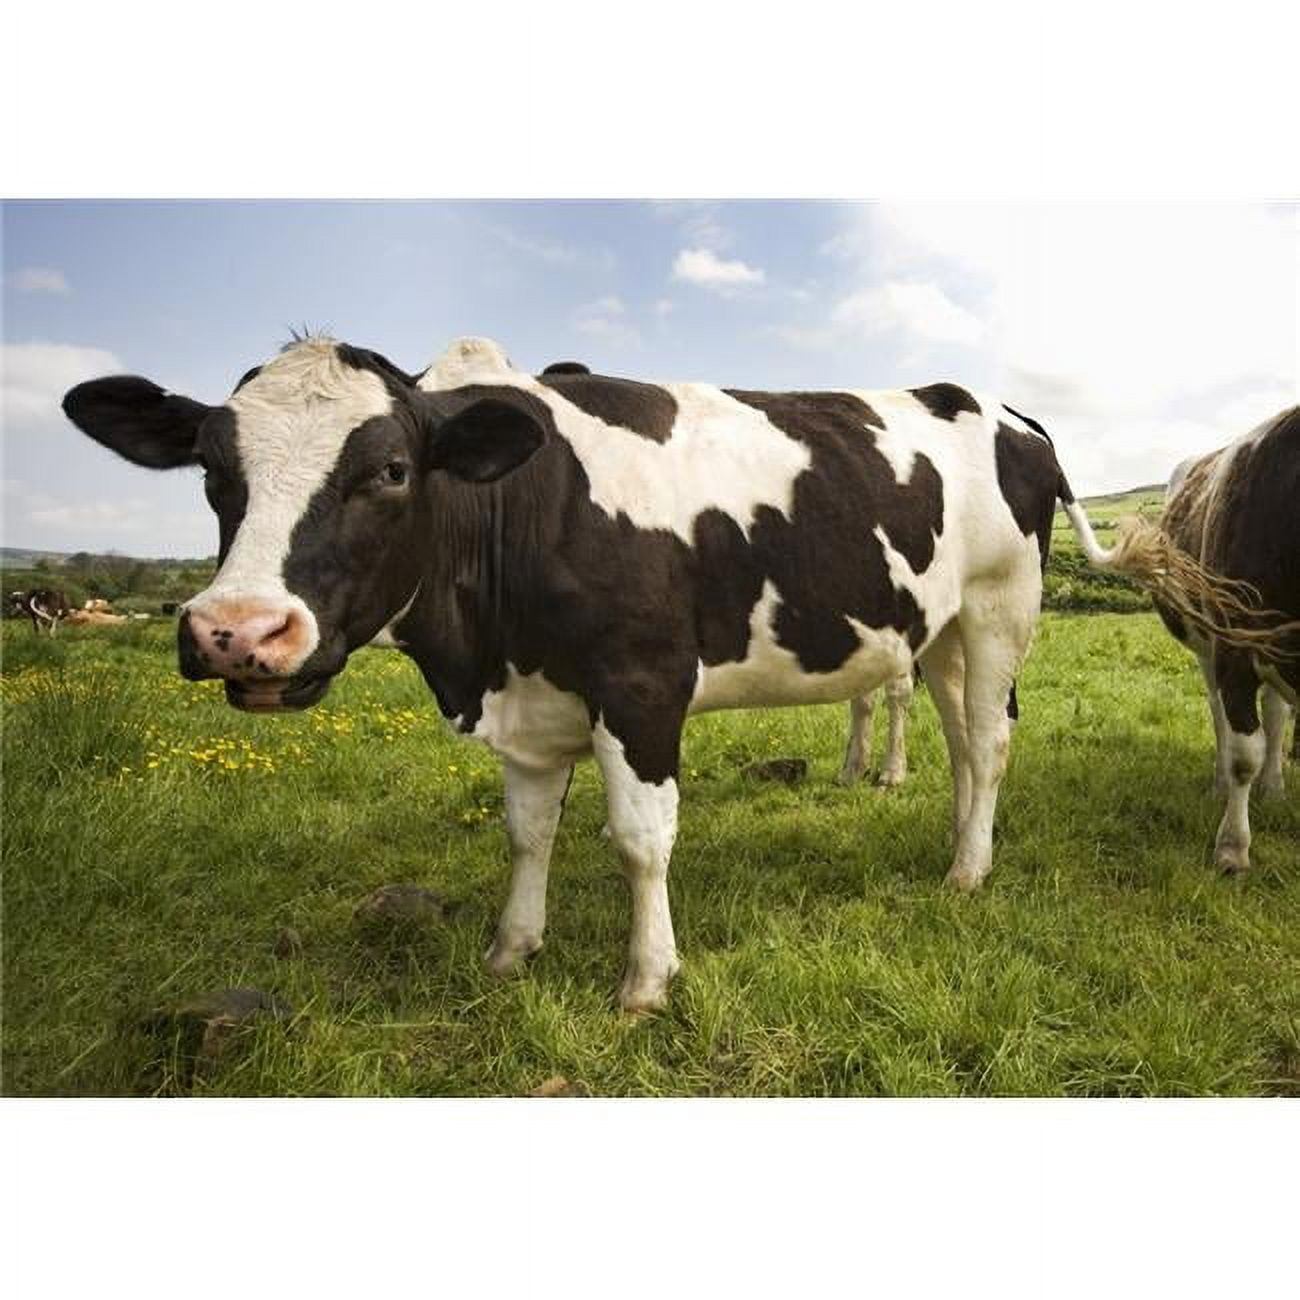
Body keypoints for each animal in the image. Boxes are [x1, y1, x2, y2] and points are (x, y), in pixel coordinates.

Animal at [61, 334, 1219, 1010]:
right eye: (213, 473)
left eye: (390, 469)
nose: (235, 631)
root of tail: (999, 406)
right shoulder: (530, 701)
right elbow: (528, 833)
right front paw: (511, 950)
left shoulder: (644, 685)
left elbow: (638, 840)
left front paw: (647, 981)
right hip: (928, 630)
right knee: (960, 744)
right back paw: (951, 845)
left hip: (997, 609)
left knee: (989, 736)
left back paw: (970, 872)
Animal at [1153, 408, 1300, 873]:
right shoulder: (1234, 653)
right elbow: (1243, 755)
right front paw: (1232, 847)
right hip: (1207, 645)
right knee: (1219, 713)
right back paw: (1220, 784)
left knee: (1275, 713)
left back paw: (1274, 786)